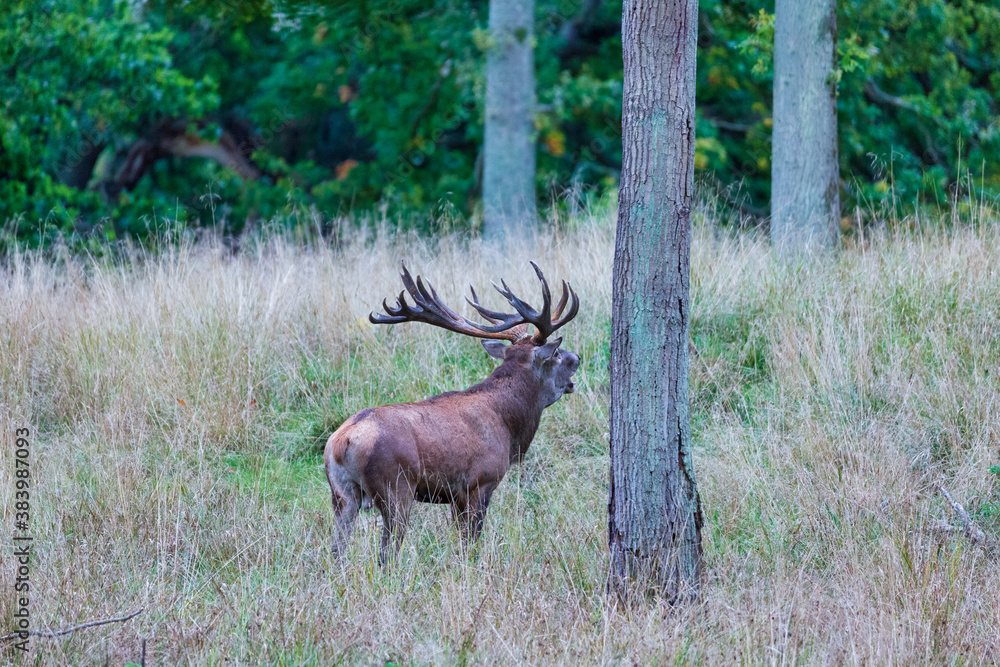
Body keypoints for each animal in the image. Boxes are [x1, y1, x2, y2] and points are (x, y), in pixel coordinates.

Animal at [324, 261, 581, 566]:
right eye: (556, 355)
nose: (577, 358)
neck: (508, 424)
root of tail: (342, 443)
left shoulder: (455, 494)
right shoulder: (479, 483)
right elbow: (469, 542)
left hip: (341, 494)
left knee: (336, 550)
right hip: (395, 489)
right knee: (387, 553)